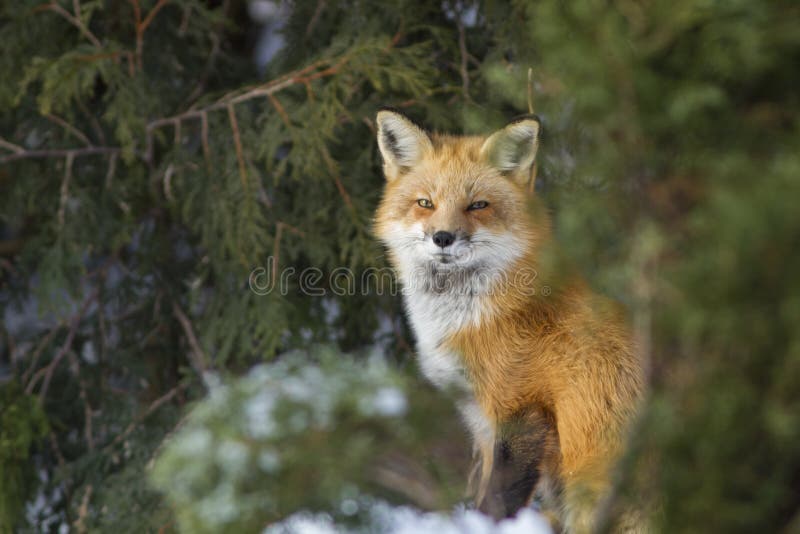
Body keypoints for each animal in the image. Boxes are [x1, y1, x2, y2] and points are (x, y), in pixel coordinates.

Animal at [373, 108, 645, 533]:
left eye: (477, 205)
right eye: (425, 203)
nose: (442, 237)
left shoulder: (522, 412)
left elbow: (497, 502)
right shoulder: (482, 422)